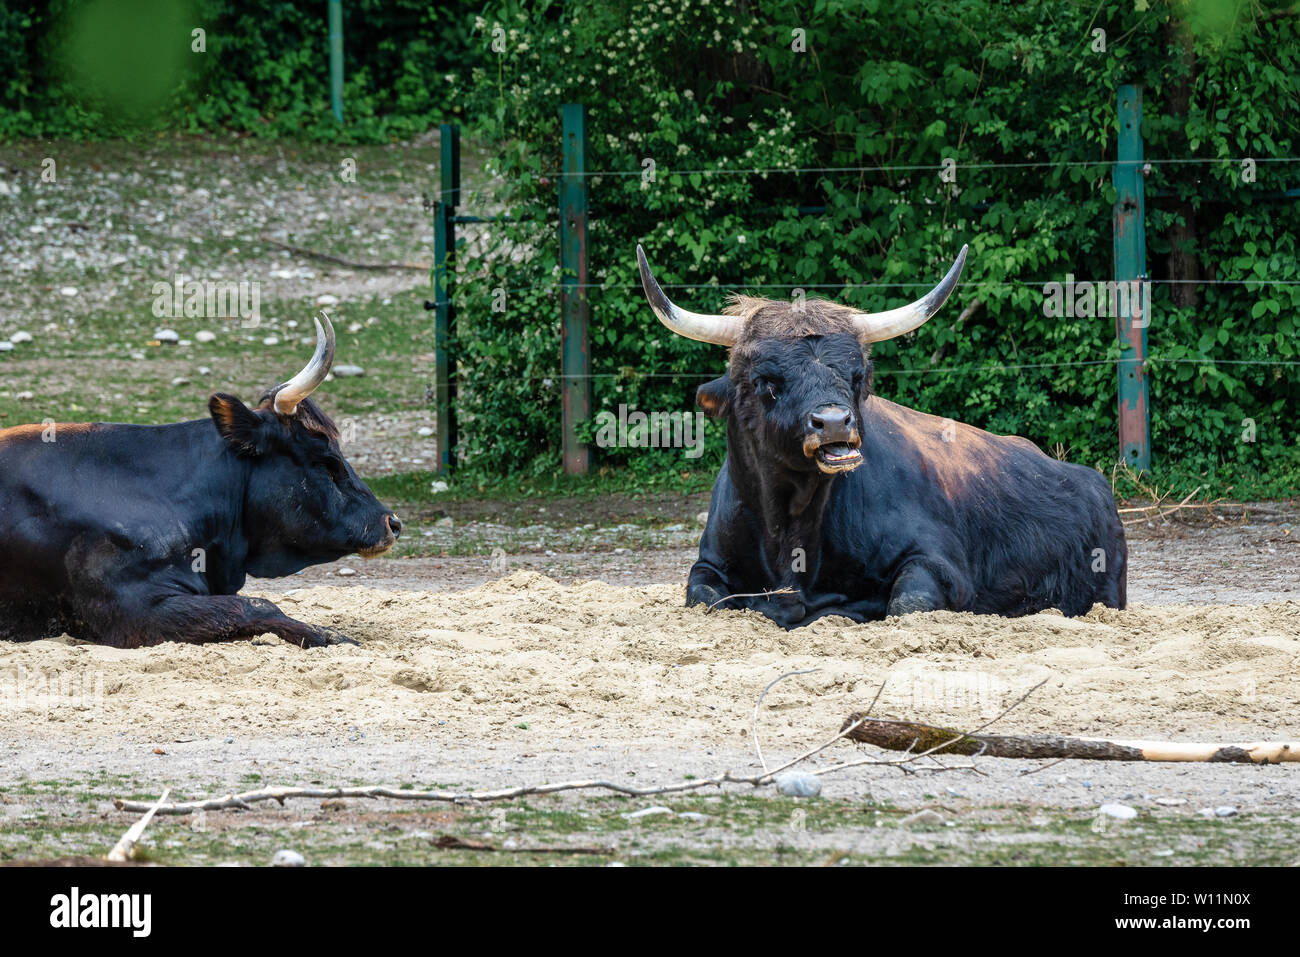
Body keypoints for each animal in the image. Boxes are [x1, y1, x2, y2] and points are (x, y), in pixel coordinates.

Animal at [636, 244, 1127, 629]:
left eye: (857, 376)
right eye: (766, 381)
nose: (835, 423)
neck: (790, 528)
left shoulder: (940, 565)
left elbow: (906, 604)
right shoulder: (707, 565)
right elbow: (705, 598)